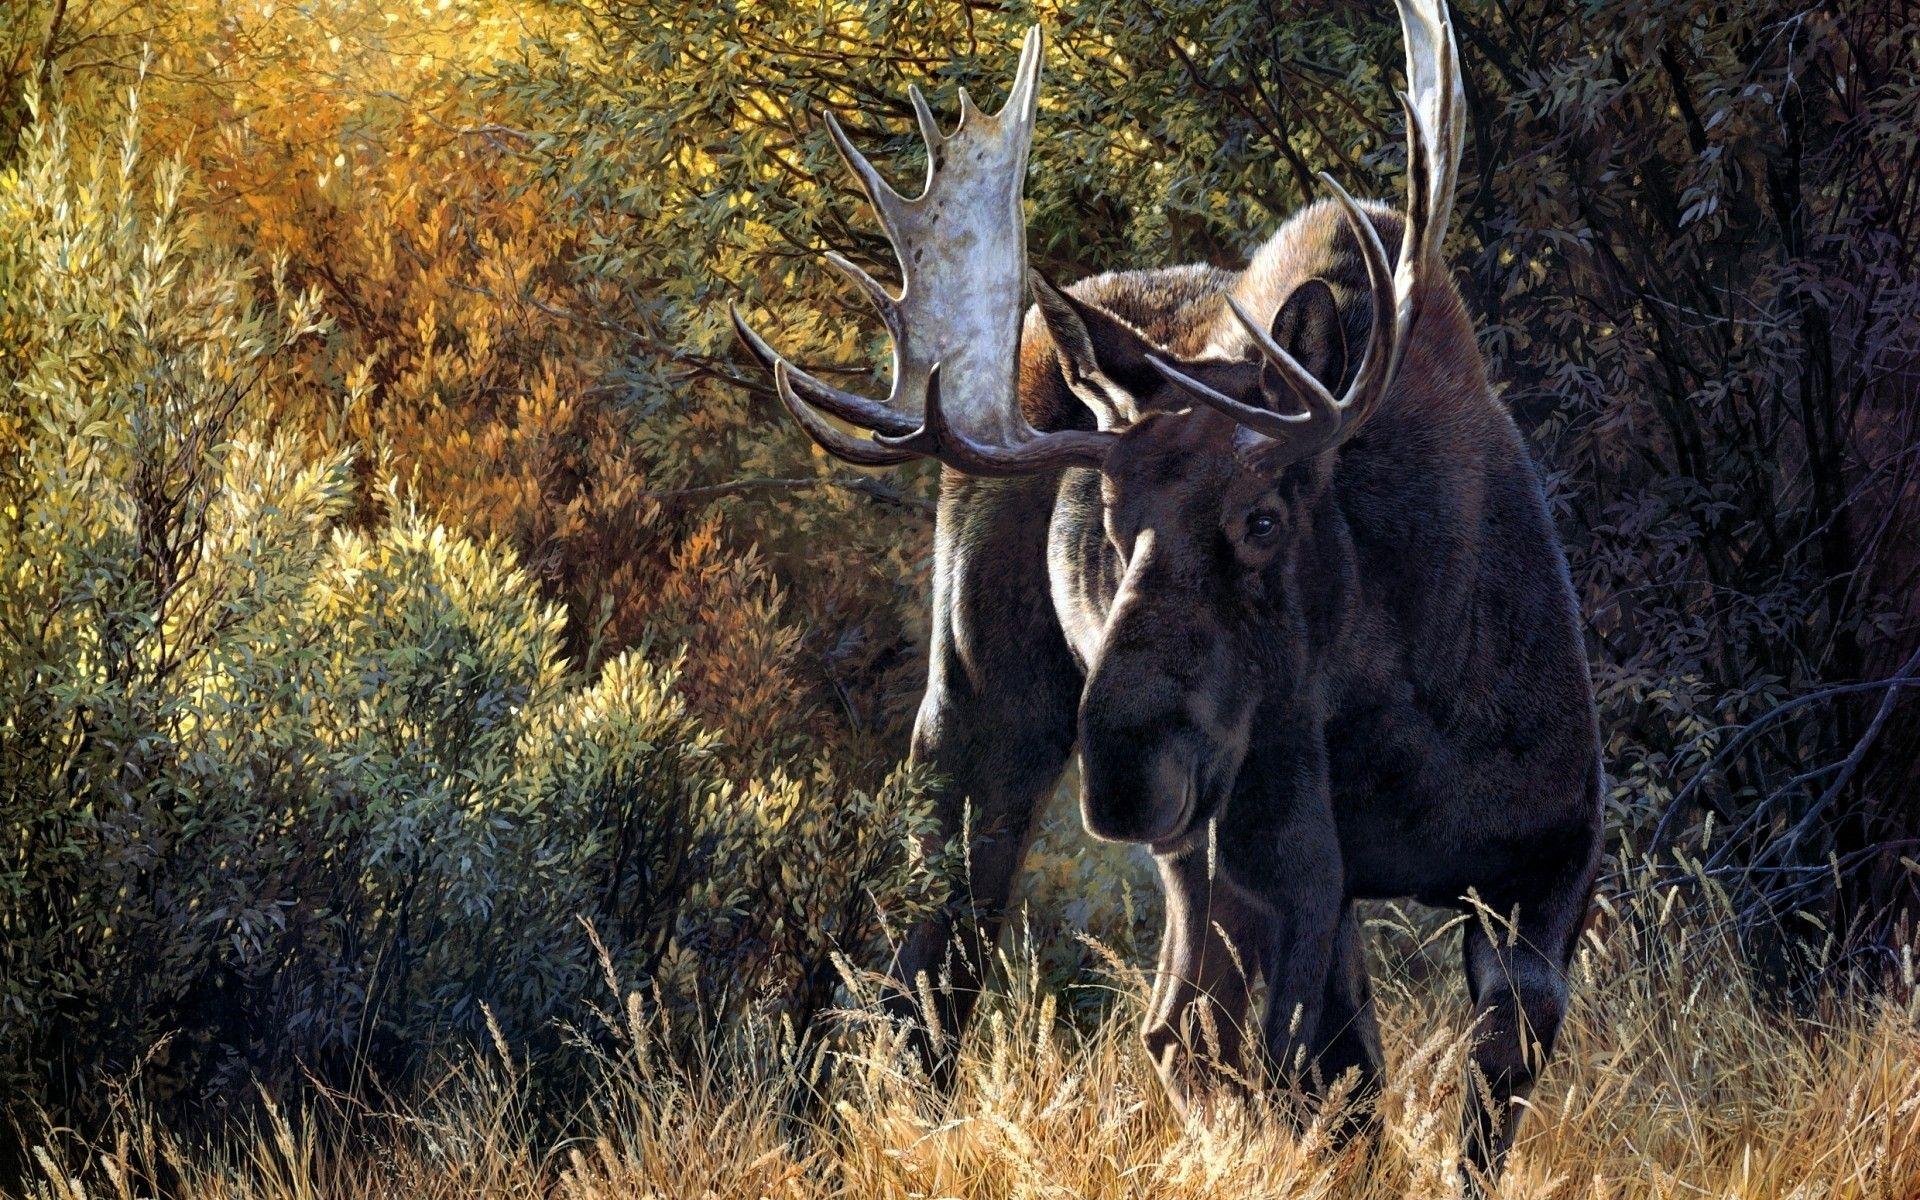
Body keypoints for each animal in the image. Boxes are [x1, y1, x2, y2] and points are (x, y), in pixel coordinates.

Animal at [731, 0, 1603, 1184]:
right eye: (1108, 524)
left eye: (1264, 520)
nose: (1124, 769)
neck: (1409, 697)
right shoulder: (1269, 862)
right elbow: (1287, 1065)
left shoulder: (1547, 854)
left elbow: (1458, 1087)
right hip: (988, 714)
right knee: (956, 958)